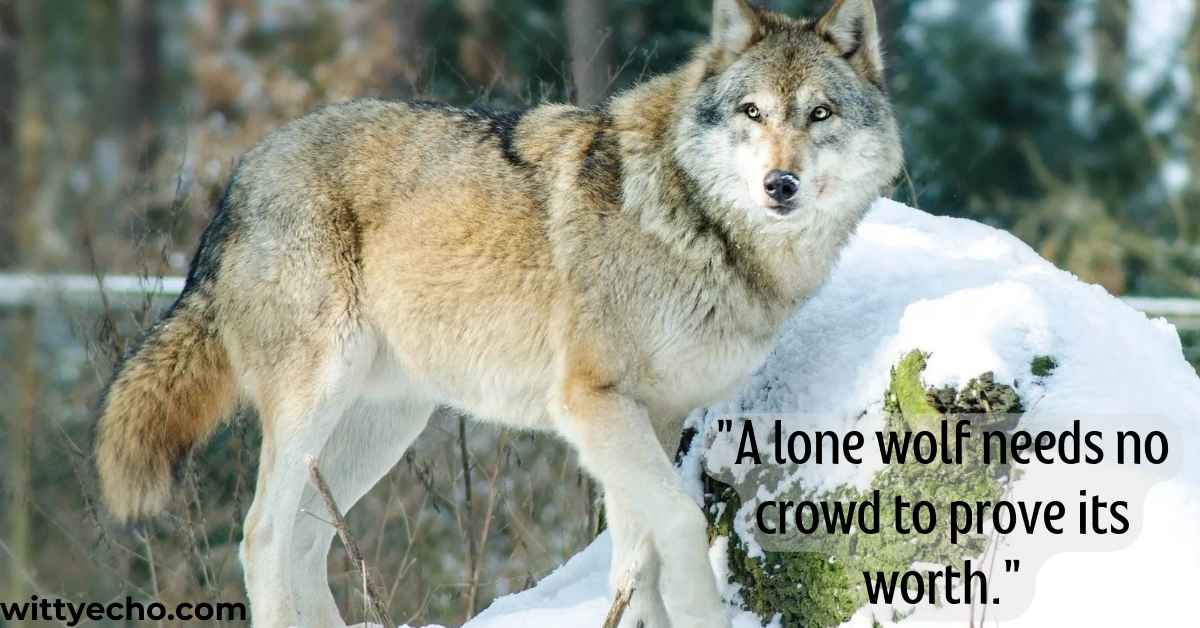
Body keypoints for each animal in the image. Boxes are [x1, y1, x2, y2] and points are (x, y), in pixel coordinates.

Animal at [95, 0, 901, 626]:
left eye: (819, 114)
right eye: (751, 112)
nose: (780, 185)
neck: (692, 221)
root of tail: (243, 172)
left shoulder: (652, 416)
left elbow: (635, 561)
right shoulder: (591, 404)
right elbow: (677, 519)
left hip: (382, 427)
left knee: (304, 541)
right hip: (316, 402)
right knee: (261, 533)